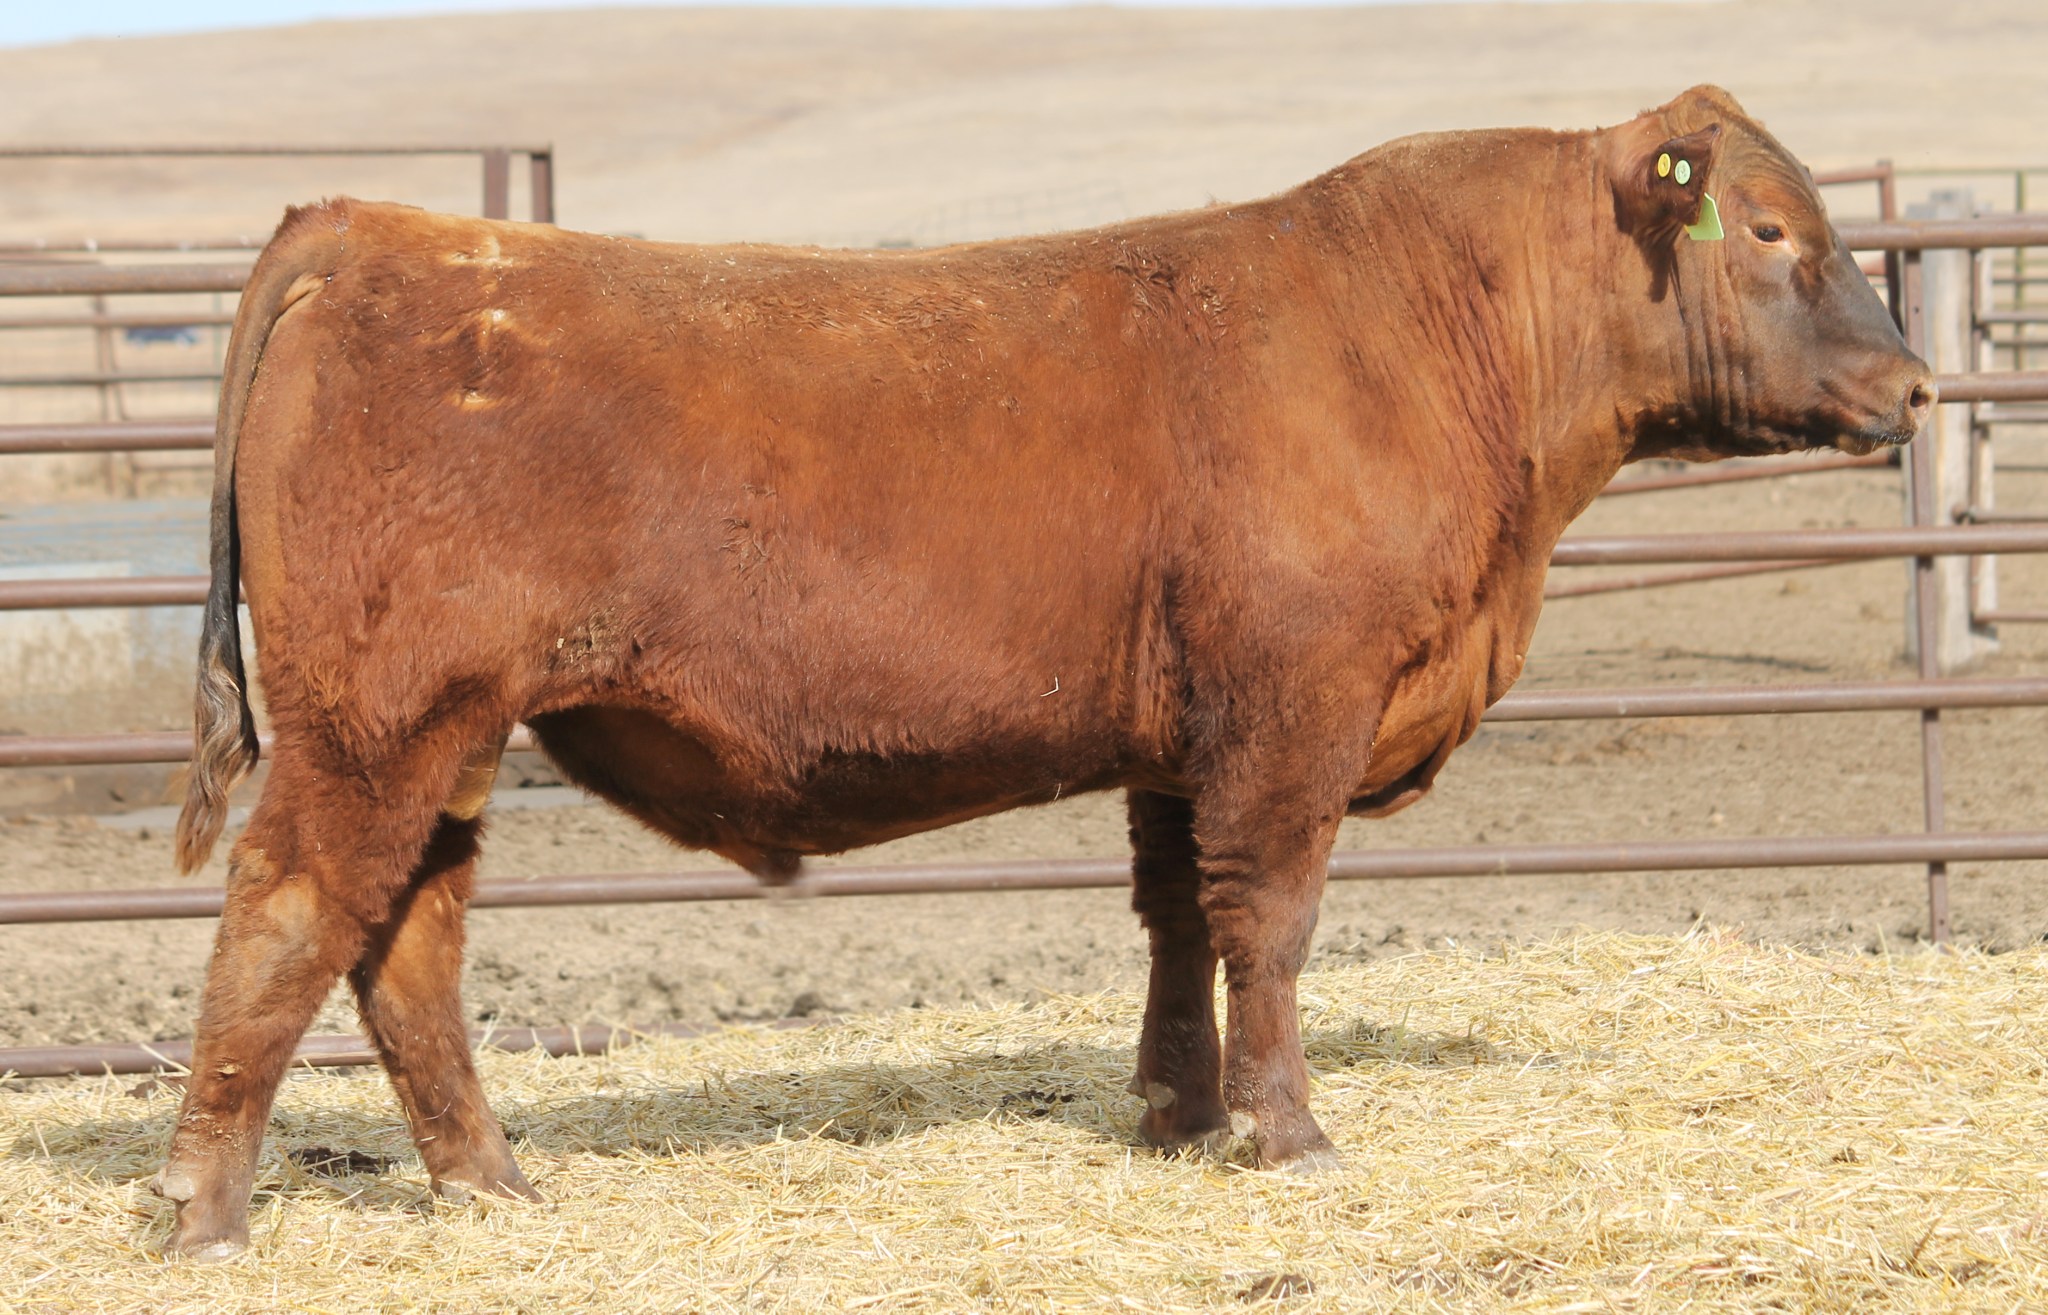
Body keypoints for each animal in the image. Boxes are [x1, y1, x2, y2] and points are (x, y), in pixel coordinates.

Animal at [152, 85, 1930, 1259]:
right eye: (1774, 229)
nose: (1914, 383)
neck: (1436, 334)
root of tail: (381, 231)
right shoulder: (1292, 709)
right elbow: (1271, 918)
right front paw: (1287, 1131)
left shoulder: (1182, 735)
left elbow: (1176, 917)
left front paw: (1179, 1110)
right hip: (372, 726)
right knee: (292, 914)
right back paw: (208, 1211)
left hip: (448, 737)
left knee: (408, 945)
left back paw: (493, 1184)